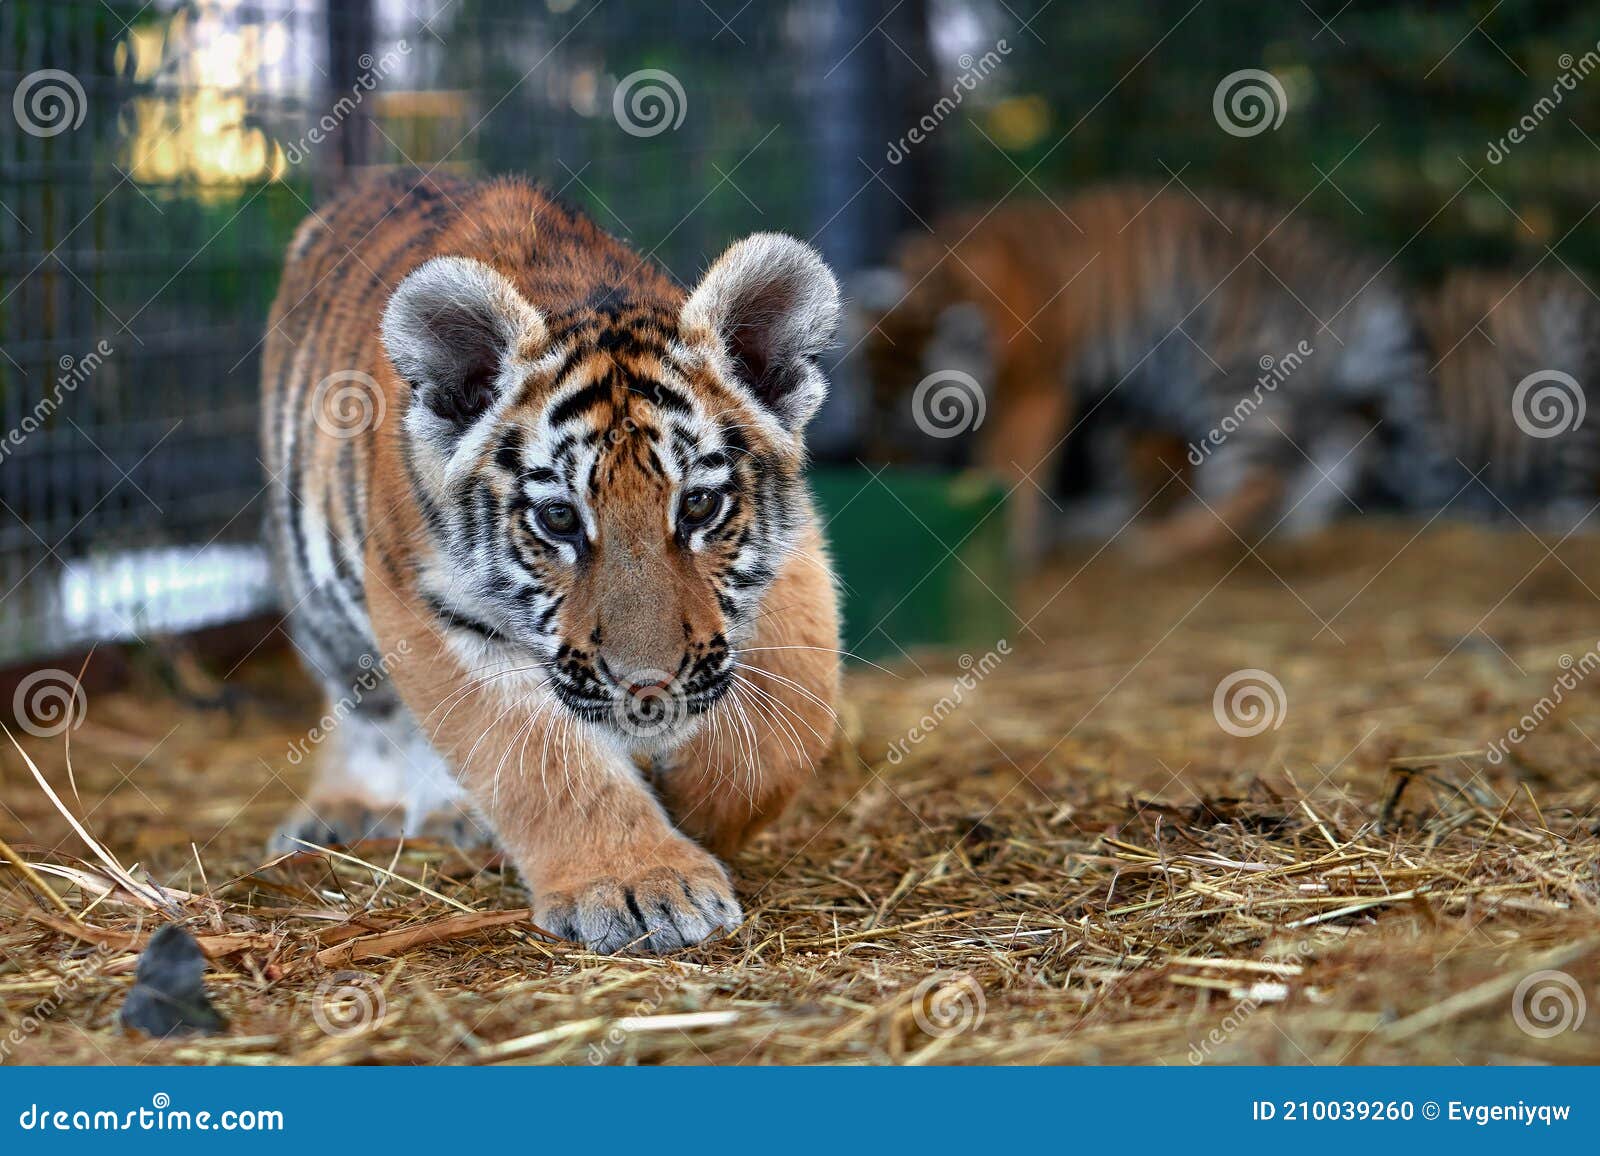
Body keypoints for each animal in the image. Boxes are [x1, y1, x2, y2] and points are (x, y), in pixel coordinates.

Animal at [261, 170, 843, 954]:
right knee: (364, 703)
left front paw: (699, 804)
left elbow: (797, 710)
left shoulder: (795, 552)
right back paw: (346, 808)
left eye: (697, 507)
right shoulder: (424, 603)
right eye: (559, 518)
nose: (647, 688)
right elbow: (541, 762)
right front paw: (643, 886)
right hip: (321, 596)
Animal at [855, 185, 1450, 562]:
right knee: (1344, 444)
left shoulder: (1035, 389)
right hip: (1306, 391)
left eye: (920, 417)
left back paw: (1159, 545)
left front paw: (1015, 544)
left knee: (1258, 480)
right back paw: (1293, 528)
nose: (883, 466)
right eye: (875, 409)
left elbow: (1011, 464)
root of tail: (1364, 275)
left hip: (1237, 382)